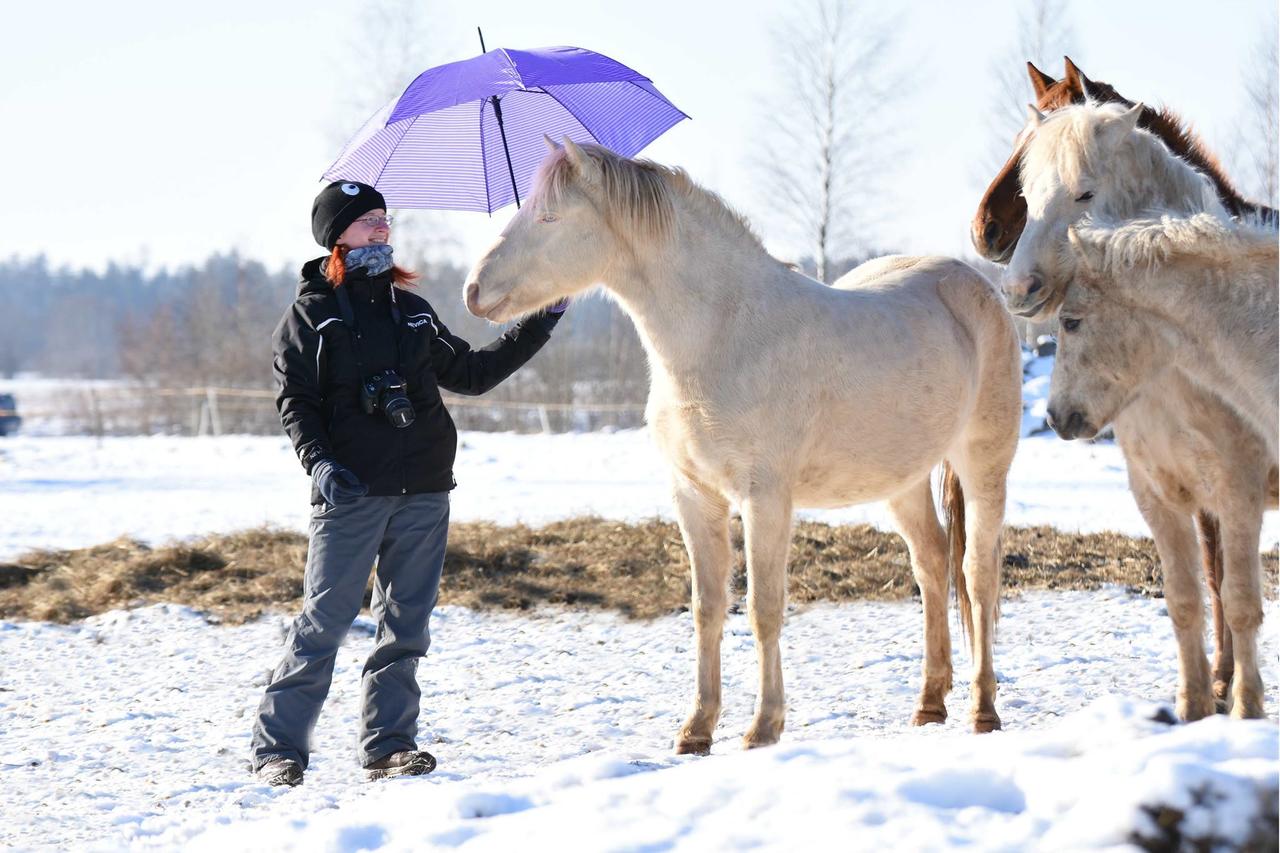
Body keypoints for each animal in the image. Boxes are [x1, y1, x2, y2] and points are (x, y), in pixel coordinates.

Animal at [465, 139, 1022, 750]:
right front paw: (697, 729)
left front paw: (763, 726)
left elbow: (763, 608)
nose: (474, 291)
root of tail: (976, 287)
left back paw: (983, 709)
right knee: (930, 564)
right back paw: (928, 703)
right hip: (902, 480)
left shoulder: (766, 499)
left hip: (983, 464)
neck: (725, 335)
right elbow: (707, 608)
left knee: (977, 574)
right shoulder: (693, 496)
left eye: (549, 216)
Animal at [1046, 212, 1279, 718]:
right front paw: (1193, 708)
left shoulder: (1239, 497)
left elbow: (1240, 602)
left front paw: (1247, 709)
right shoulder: (1161, 499)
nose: (1054, 416)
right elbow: (1185, 600)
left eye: (1071, 322)